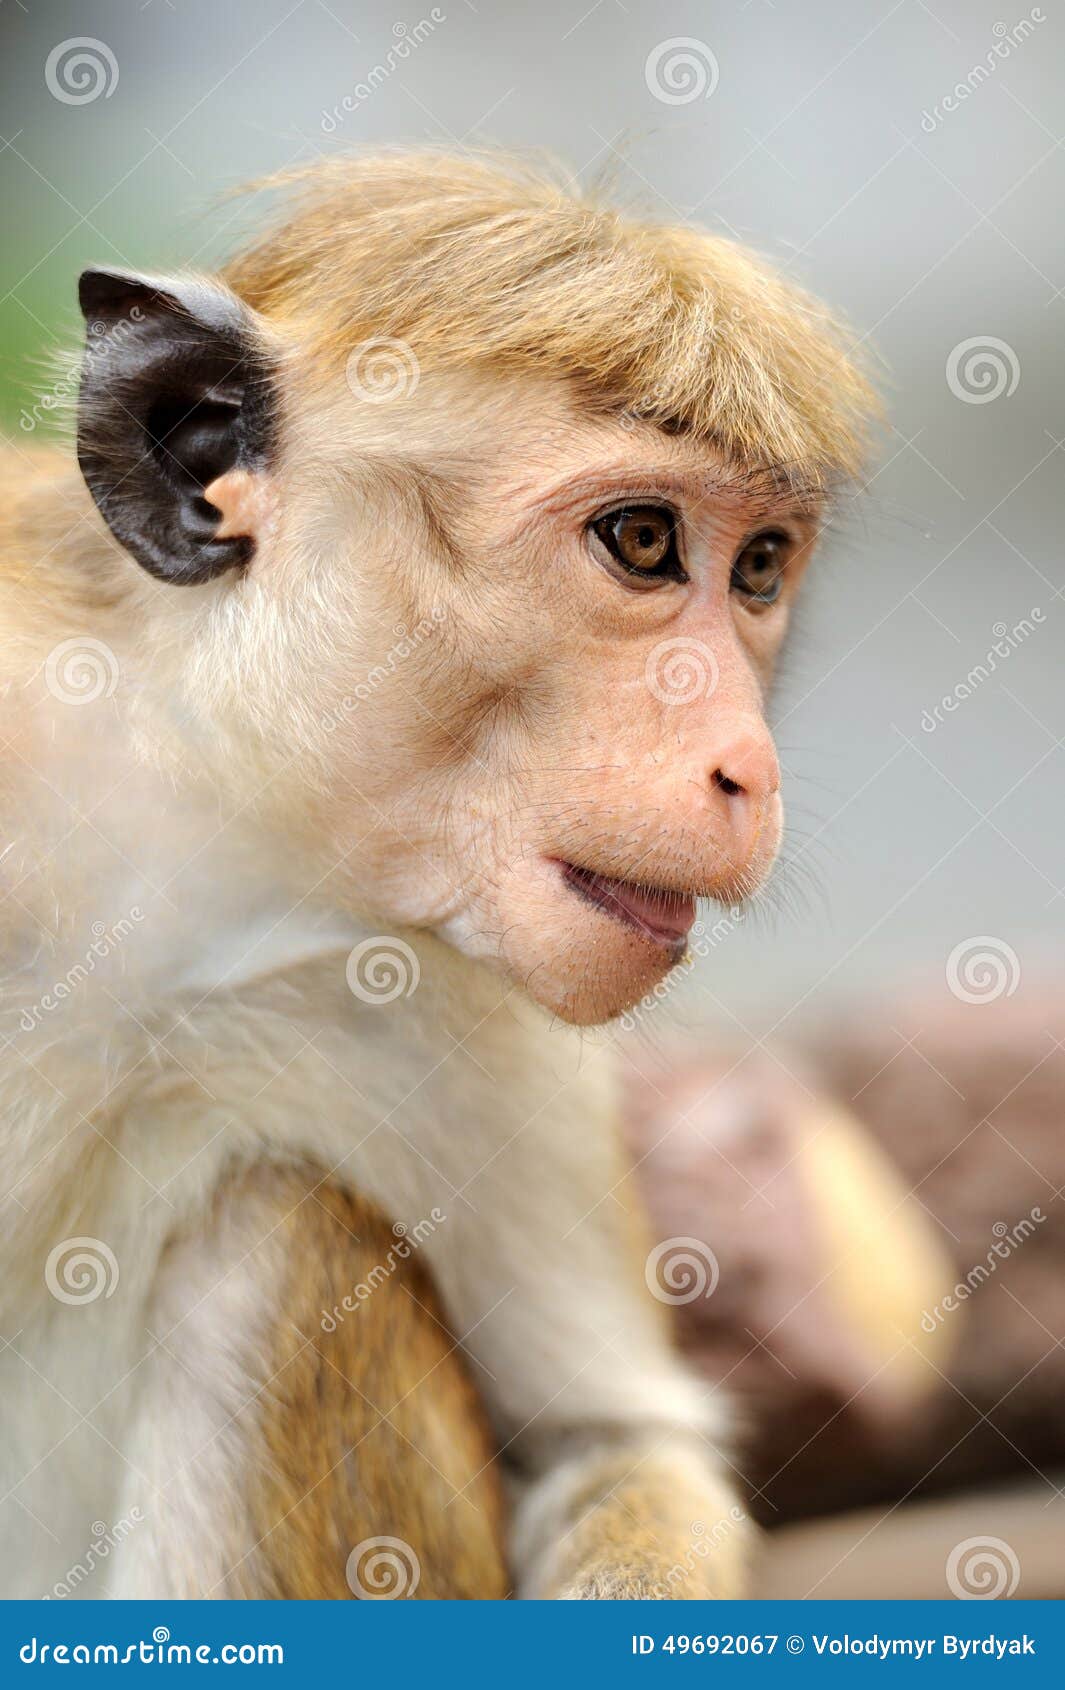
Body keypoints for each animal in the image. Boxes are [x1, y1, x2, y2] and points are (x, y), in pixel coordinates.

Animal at [0, 152, 875, 1600]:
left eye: (757, 567)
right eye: (643, 541)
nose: (748, 766)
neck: (201, 847)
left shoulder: (482, 1011)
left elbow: (610, 1440)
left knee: (269, 1243)